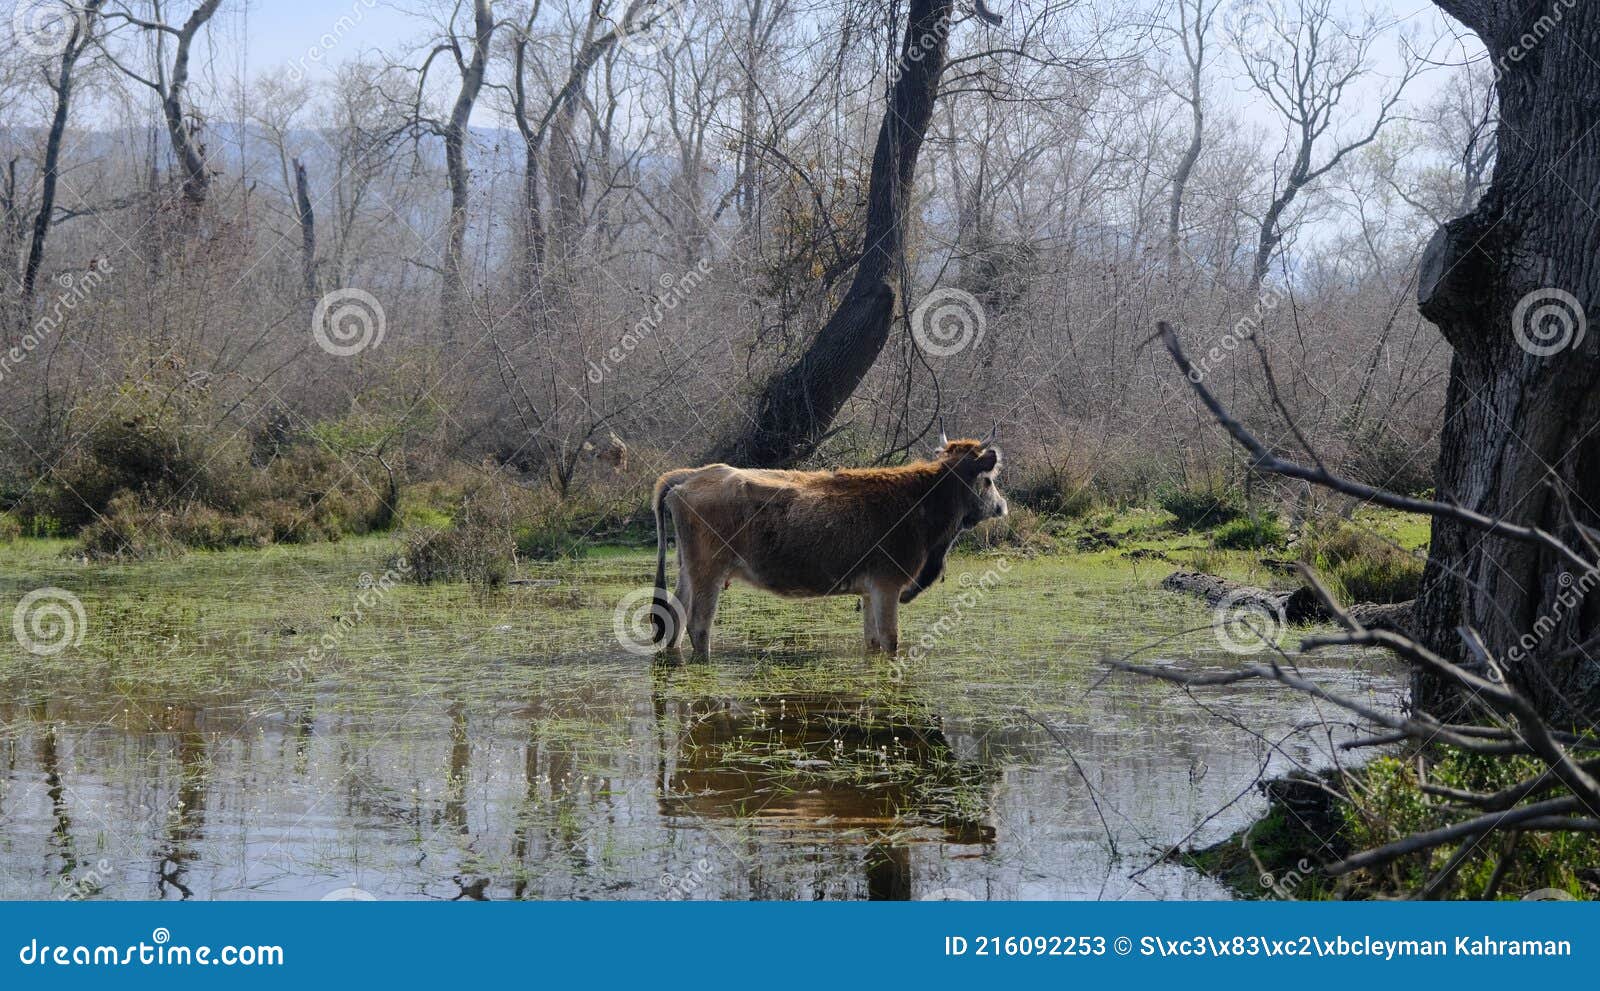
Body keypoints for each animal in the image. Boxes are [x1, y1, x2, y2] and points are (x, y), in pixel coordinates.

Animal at [647, 434, 1008, 655]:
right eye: (989, 480)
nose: (1002, 506)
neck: (919, 500)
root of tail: (692, 475)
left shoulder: (870, 590)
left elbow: (873, 642)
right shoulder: (887, 585)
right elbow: (891, 641)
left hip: (688, 571)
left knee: (675, 618)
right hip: (709, 572)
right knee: (698, 626)